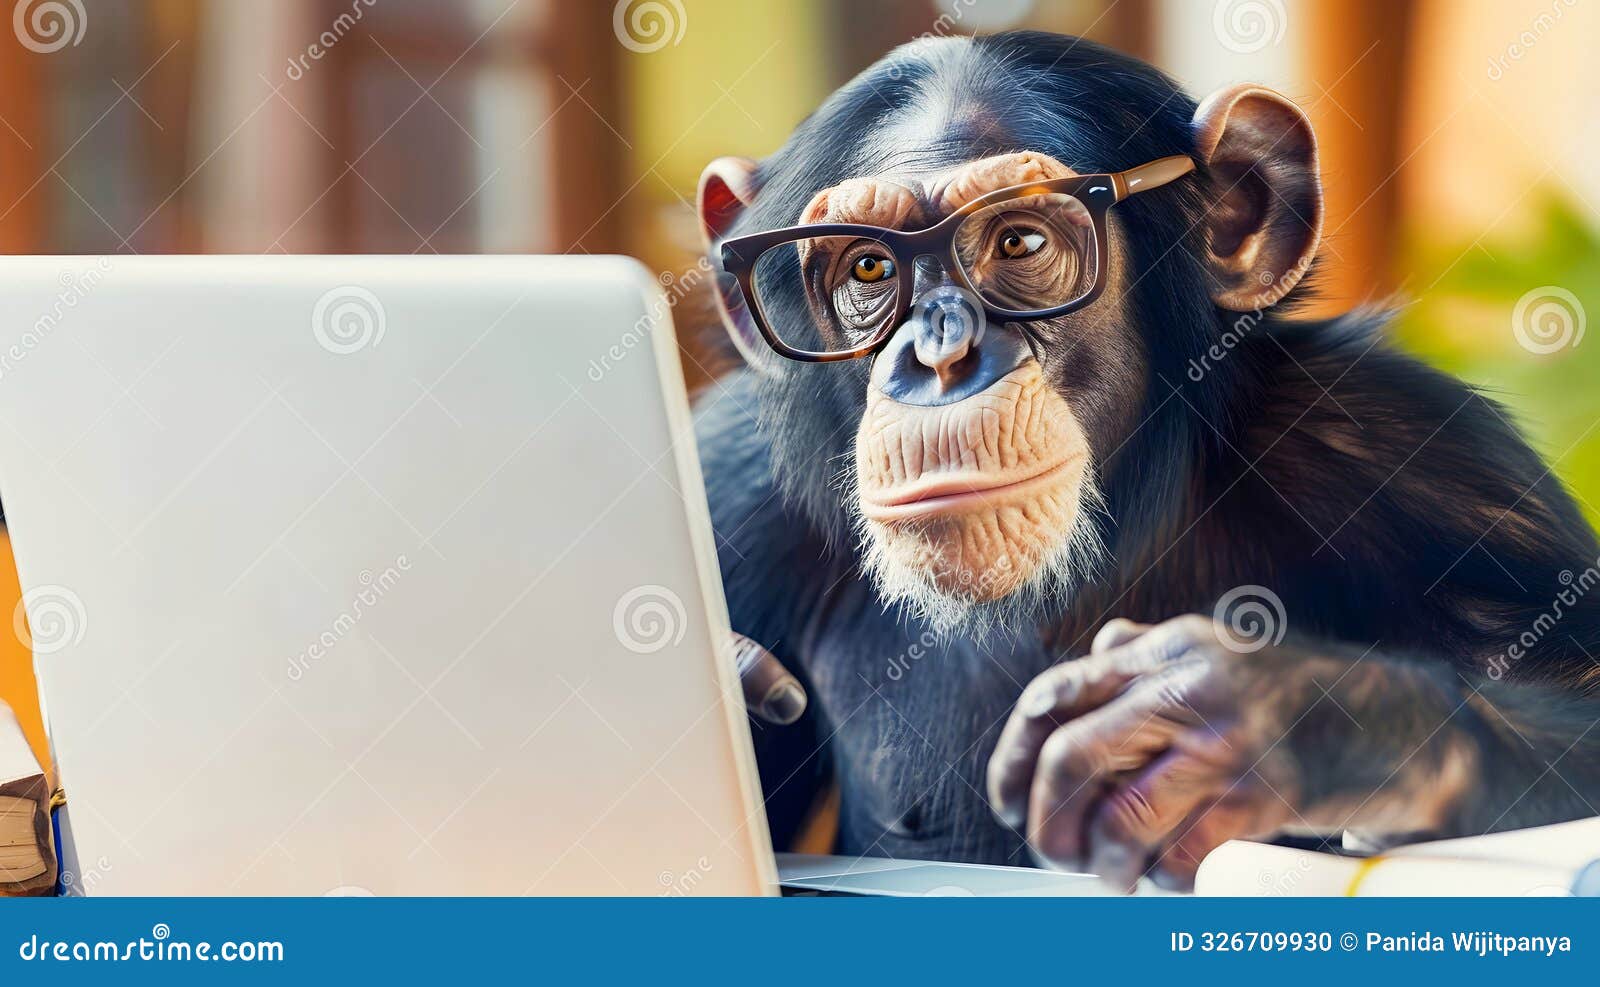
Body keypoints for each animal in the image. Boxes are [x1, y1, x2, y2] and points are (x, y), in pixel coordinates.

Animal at [692, 32, 1600, 892]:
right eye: (870, 266)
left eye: (1020, 240)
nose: (940, 353)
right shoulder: (730, 484)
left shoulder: (1426, 456)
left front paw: (1260, 712)